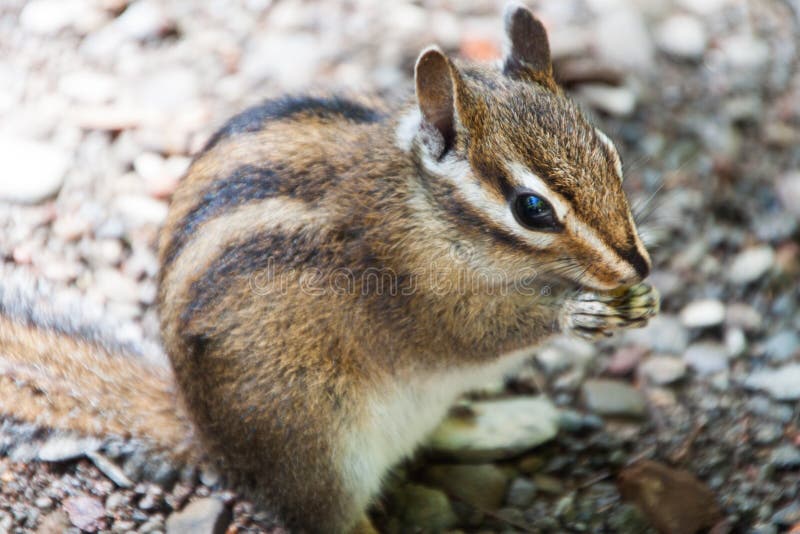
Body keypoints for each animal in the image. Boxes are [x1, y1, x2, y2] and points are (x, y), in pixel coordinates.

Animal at [0, 4, 658, 533]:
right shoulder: (415, 292)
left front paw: (640, 303)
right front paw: (578, 310)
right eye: (532, 209)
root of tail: (210, 441)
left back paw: (496, 420)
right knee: (331, 518)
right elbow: (477, 331)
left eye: (612, 155)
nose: (637, 268)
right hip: (315, 446)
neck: (423, 207)